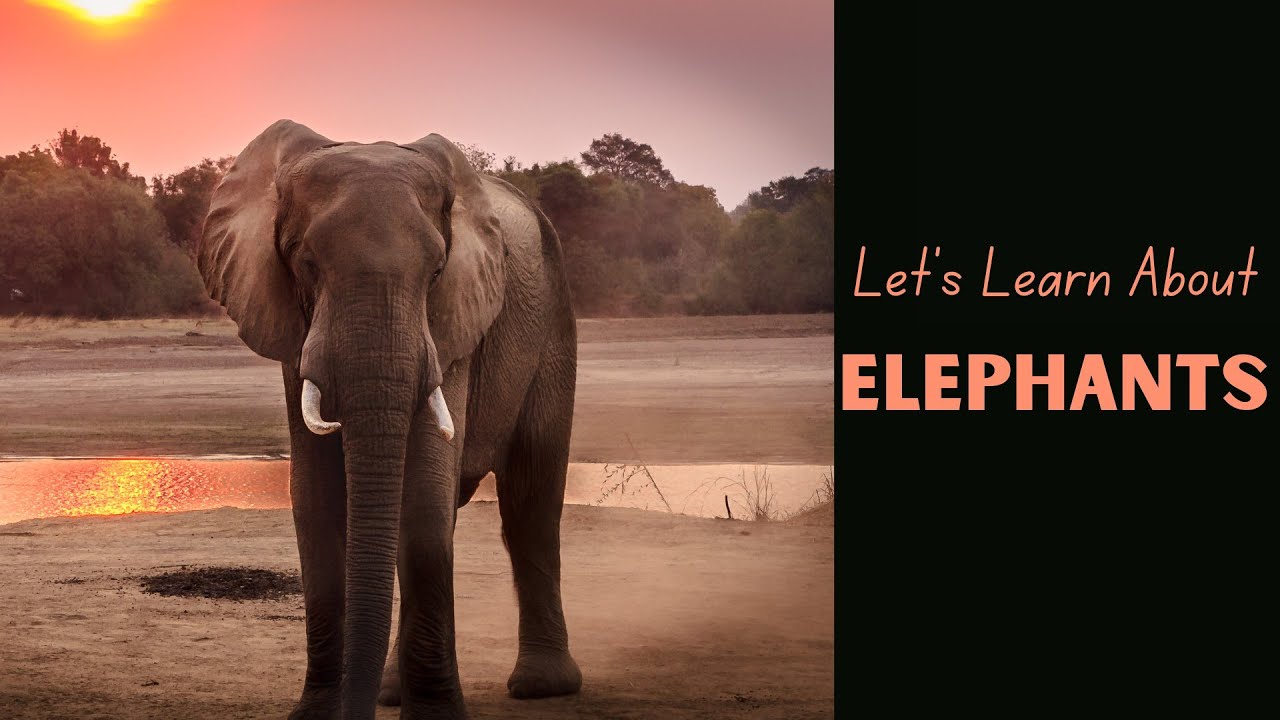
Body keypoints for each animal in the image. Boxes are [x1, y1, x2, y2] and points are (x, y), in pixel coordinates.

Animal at [197, 120, 581, 719]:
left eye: (438, 271)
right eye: (305, 264)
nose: (351, 712)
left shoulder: (454, 322)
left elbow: (422, 497)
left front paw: (438, 716)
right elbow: (316, 499)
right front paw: (317, 714)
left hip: (554, 324)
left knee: (530, 502)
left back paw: (542, 686)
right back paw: (392, 693)